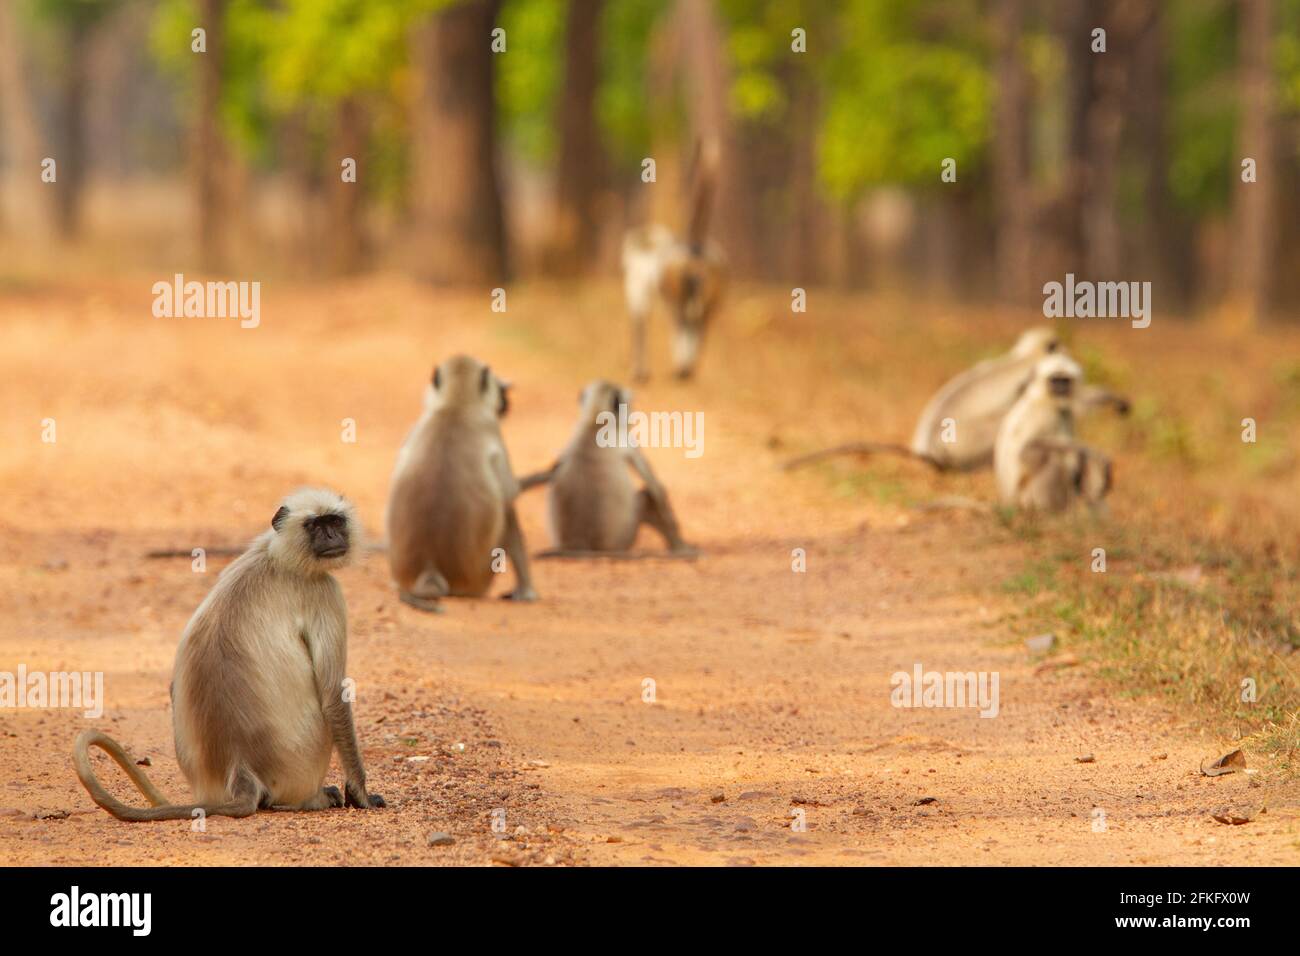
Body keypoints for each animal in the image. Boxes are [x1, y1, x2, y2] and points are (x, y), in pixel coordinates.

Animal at [73, 487, 385, 821]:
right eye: (315, 525)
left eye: (335, 521)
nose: (330, 535)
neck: (278, 557)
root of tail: (241, 769)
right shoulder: (325, 591)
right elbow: (333, 697)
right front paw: (360, 793)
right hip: (301, 767)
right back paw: (315, 798)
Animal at [386, 355, 537, 611]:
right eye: (500, 388)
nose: (507, 401)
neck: (456, 406)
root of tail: (430, 567)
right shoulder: (493, 431)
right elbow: (510, 501)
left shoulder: (413, 430)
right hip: (480, 577)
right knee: (507, 514)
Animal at [518, 380, 696, 557]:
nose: (631, 415)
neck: (595, 423)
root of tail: (582, 545)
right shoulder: (626, 440)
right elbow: (656, 489)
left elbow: (551, 470)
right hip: (625, 536)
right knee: (646, 497)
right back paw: (681, 548)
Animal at [622, 139, 727, 382]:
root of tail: (694, 248)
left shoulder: (637, 284)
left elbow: (640, 321)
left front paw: (639, 371)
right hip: (713, 291)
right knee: (698, 326)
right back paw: (688, 369)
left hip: (673, 290)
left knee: (677, 322)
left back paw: (679, 369)